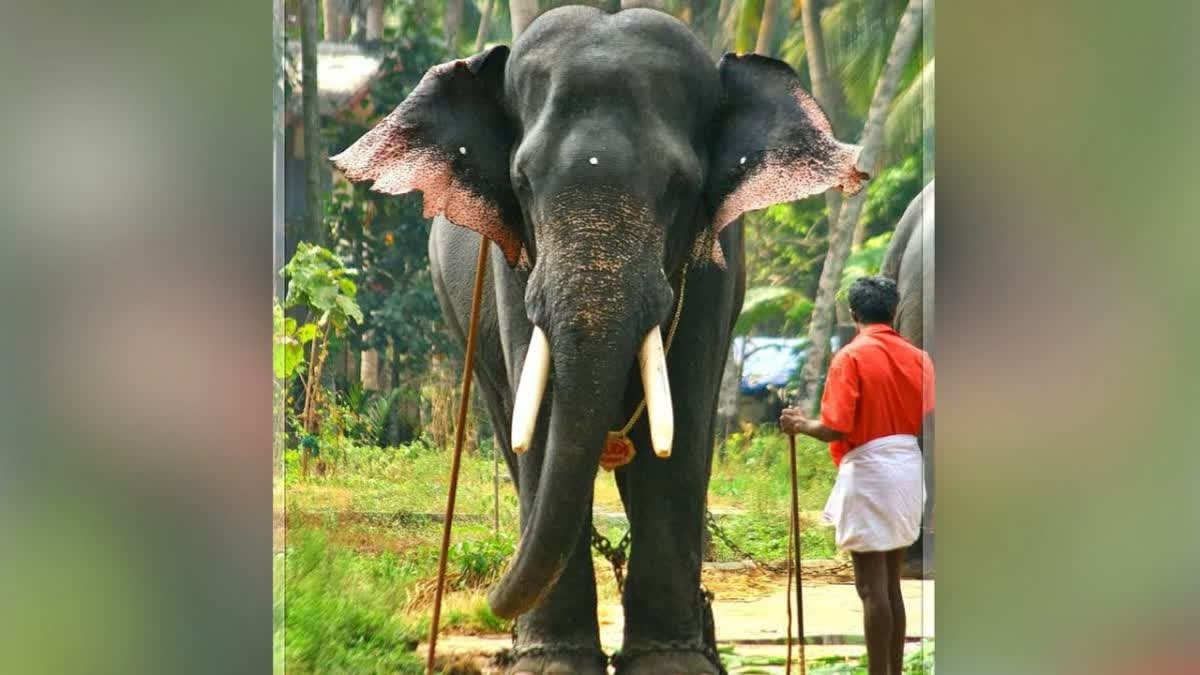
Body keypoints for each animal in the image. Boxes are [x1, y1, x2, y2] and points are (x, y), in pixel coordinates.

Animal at [333, 6, 866, 673]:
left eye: (679, 185)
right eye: (522, 182)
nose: (490, 601)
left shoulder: (717, 264)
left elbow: (681, 426)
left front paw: (671, 664)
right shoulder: (513, 265)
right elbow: (539, 422)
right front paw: (551, 663)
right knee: (512, 427)